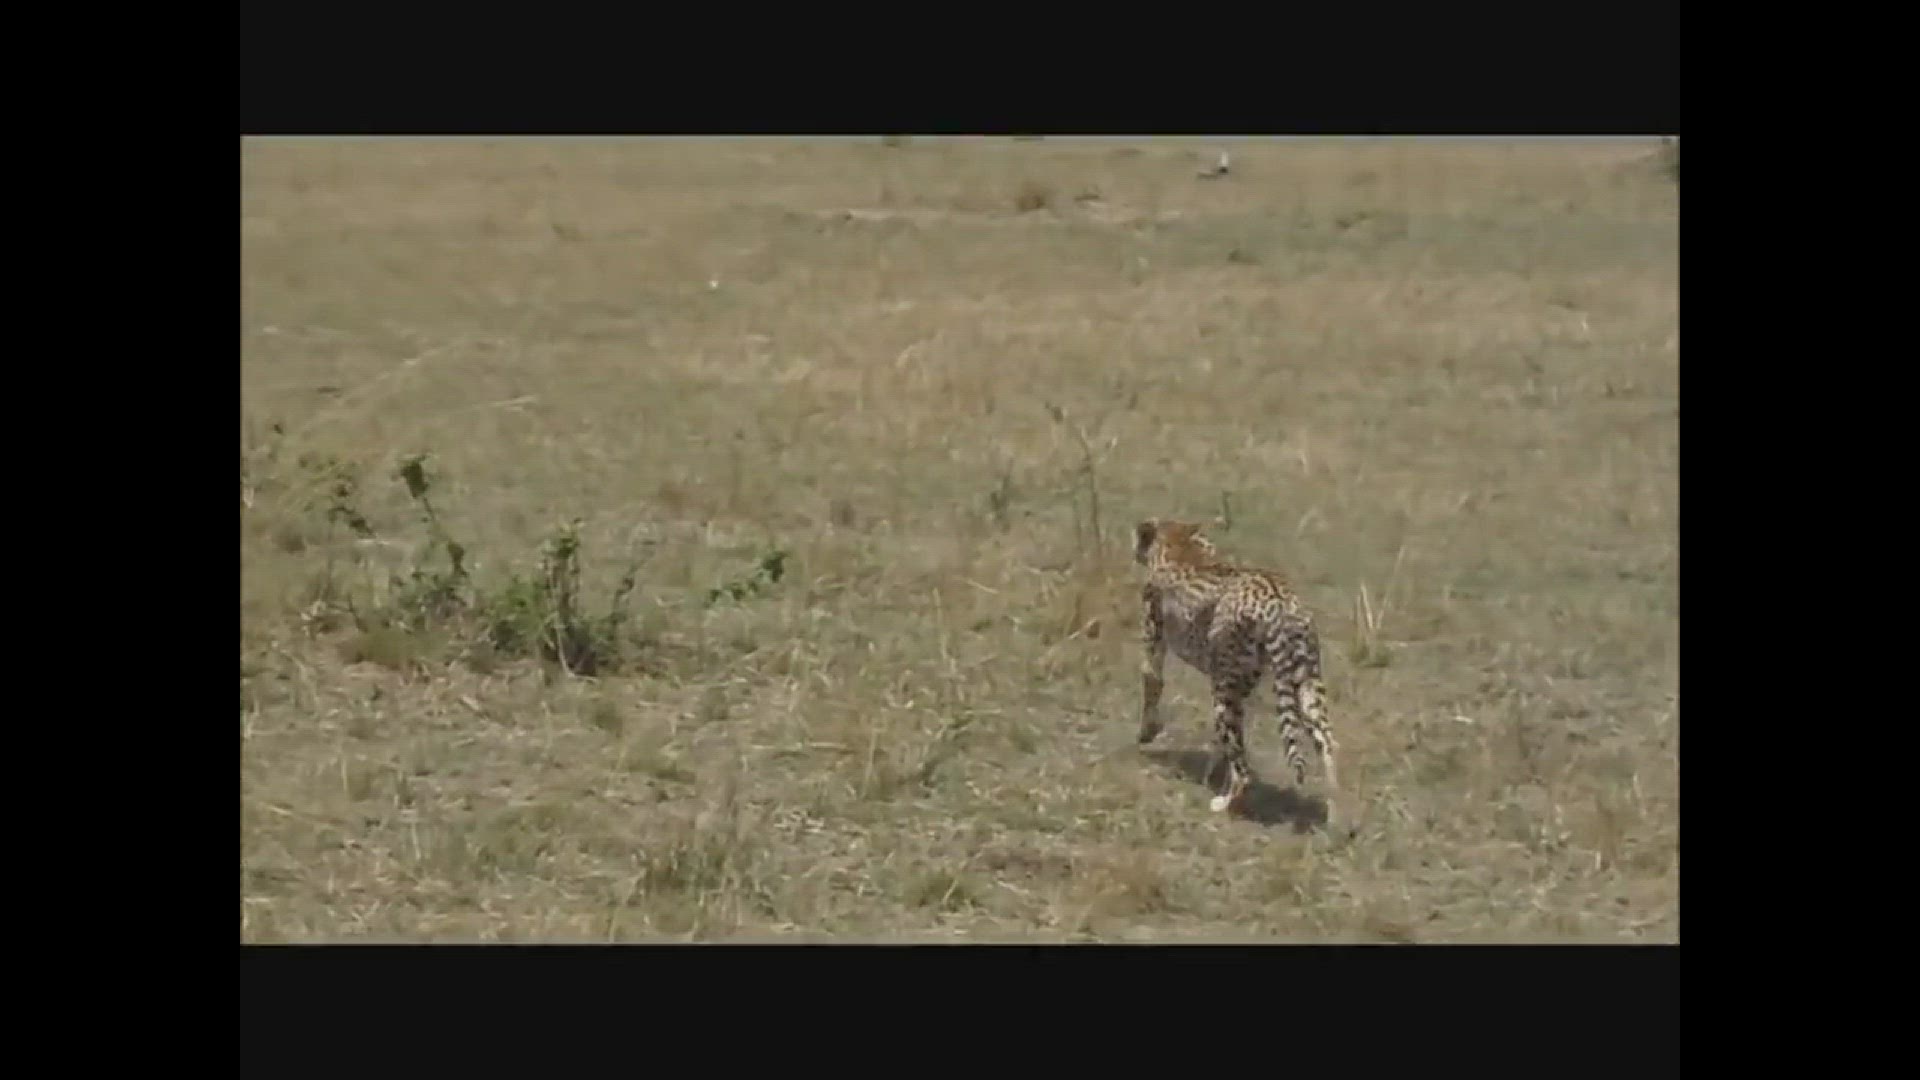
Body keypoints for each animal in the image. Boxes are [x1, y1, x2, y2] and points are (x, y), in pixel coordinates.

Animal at [1133, 517, 1340, 821]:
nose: (1135, 550)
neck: (1182, 545)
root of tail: (1280, 599)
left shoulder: (1154, 644)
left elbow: (1152, 686)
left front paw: (1147, 733)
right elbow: (1224, 744)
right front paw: (1211, 771)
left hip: (1224, 692)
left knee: (1244, 772)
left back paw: (1224, 804)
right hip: (1307, 687)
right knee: (1328, 744)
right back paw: (1335, 813)